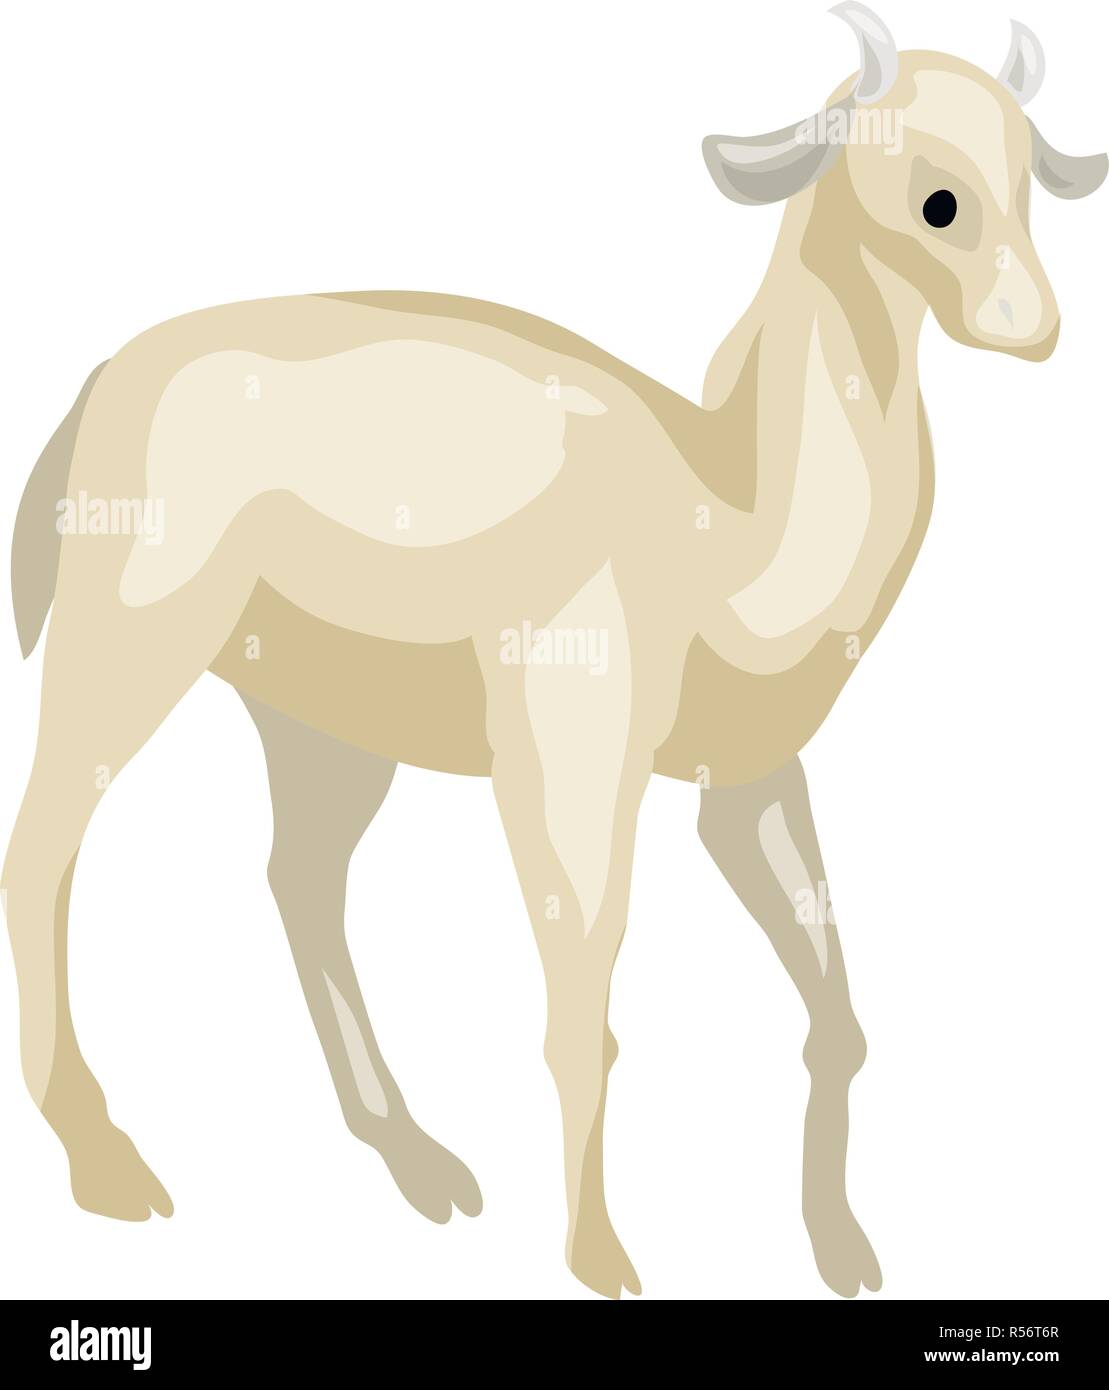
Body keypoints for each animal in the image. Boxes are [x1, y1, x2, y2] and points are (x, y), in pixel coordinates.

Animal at [4, 6, 1104, 1298]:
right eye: (933, 196)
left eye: (1029, 177)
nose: (1033, 326)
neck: (726, 530)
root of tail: (95, 385)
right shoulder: (569, 752)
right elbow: (584, 1007)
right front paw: (602, 1256)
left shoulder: (747, 777)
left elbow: (837, 1016)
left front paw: (845, 1250)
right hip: (127, 638)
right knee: (45, 848)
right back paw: (108, 1167)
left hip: (324, 727)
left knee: (298, 880)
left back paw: (419, 1162)